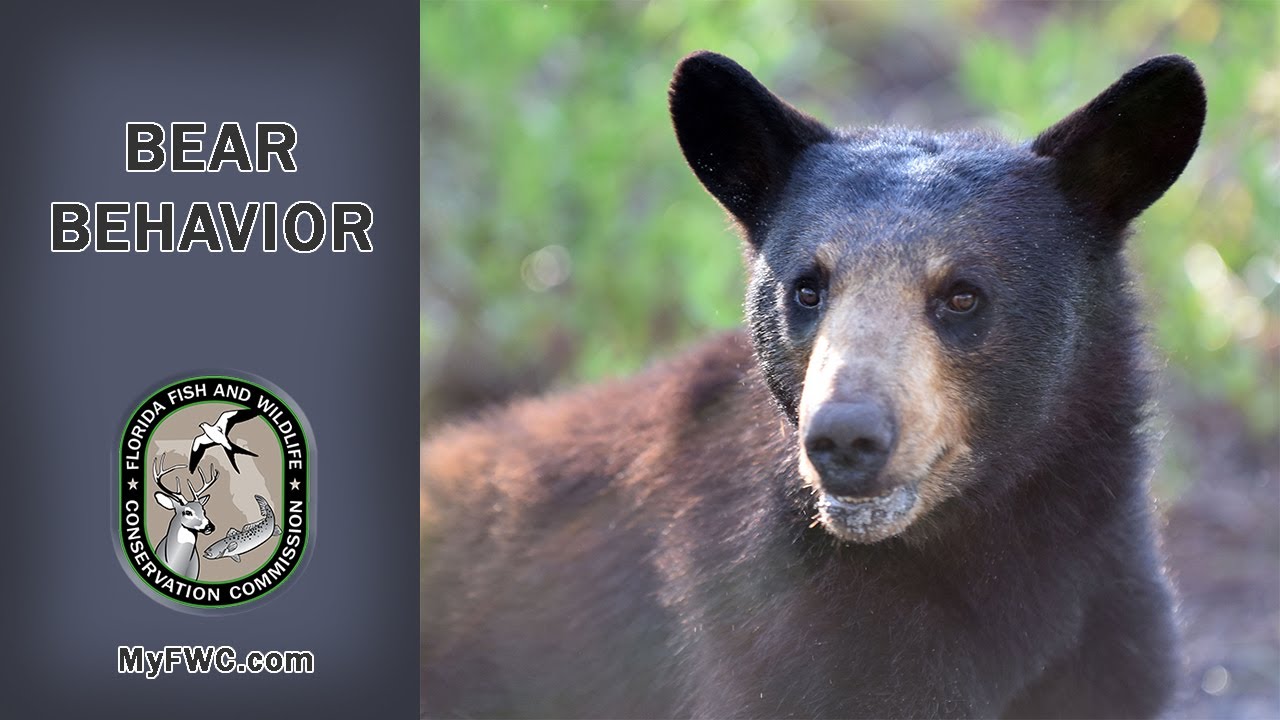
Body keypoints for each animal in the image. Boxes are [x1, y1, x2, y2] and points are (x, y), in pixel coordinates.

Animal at [420, 51, 1205, 719]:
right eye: (807, 288)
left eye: (962, 296)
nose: (845, 436)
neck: (989, 547)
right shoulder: (774, 638)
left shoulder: (1106, 622)